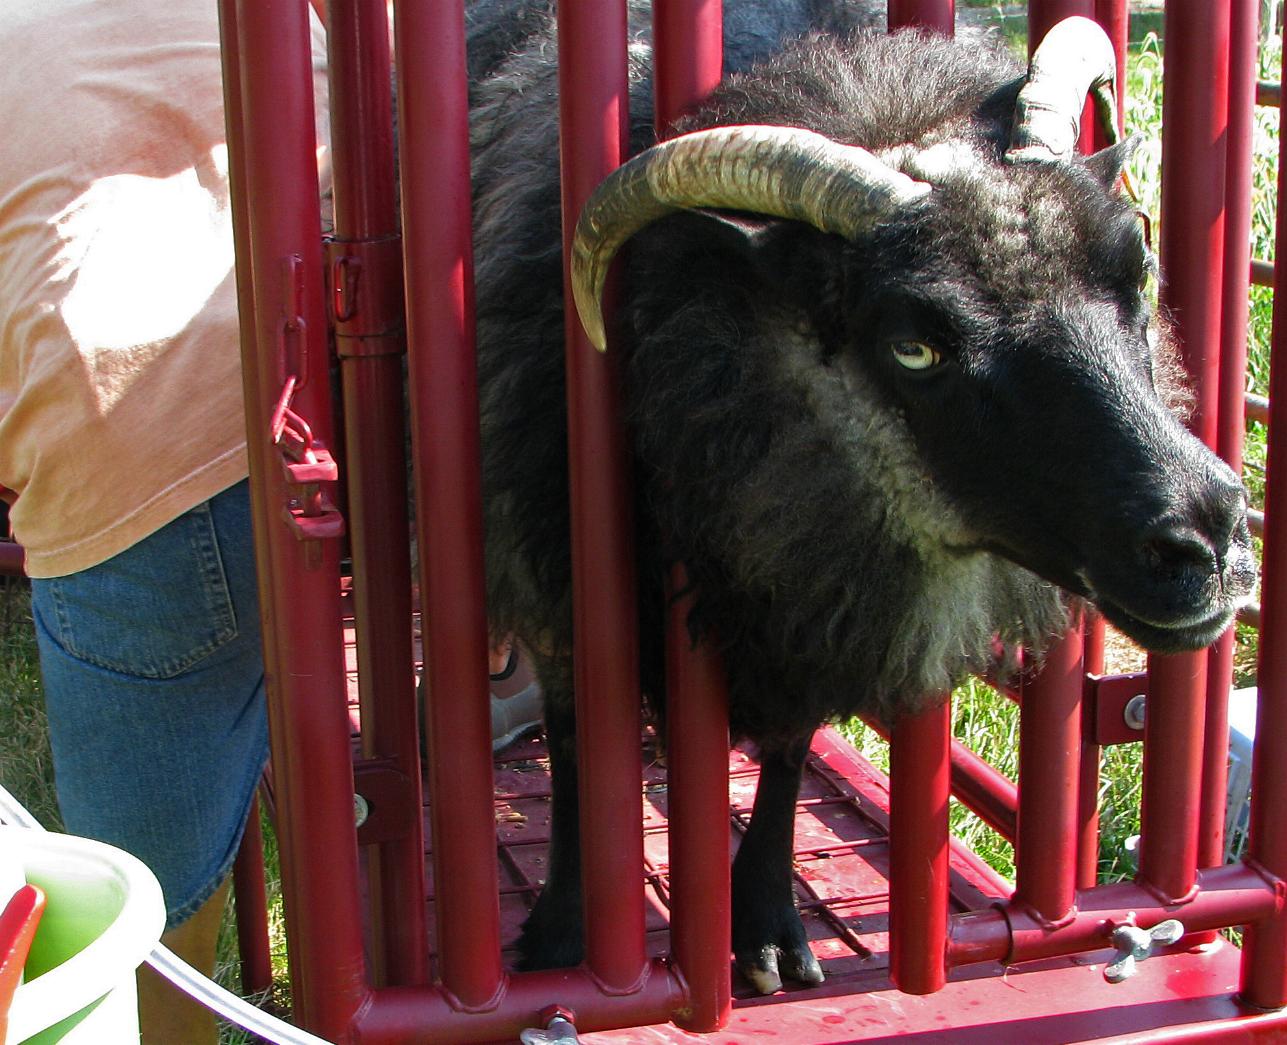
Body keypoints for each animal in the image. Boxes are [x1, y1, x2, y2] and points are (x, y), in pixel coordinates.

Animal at [465, 3, 1257, 993]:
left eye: (1137, 270)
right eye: (914, 346)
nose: (1206, 543)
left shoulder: (816, 601)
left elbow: (789, 749)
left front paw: (768, 929)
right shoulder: (557, 569)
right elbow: (579, 744)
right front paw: (565, 933)